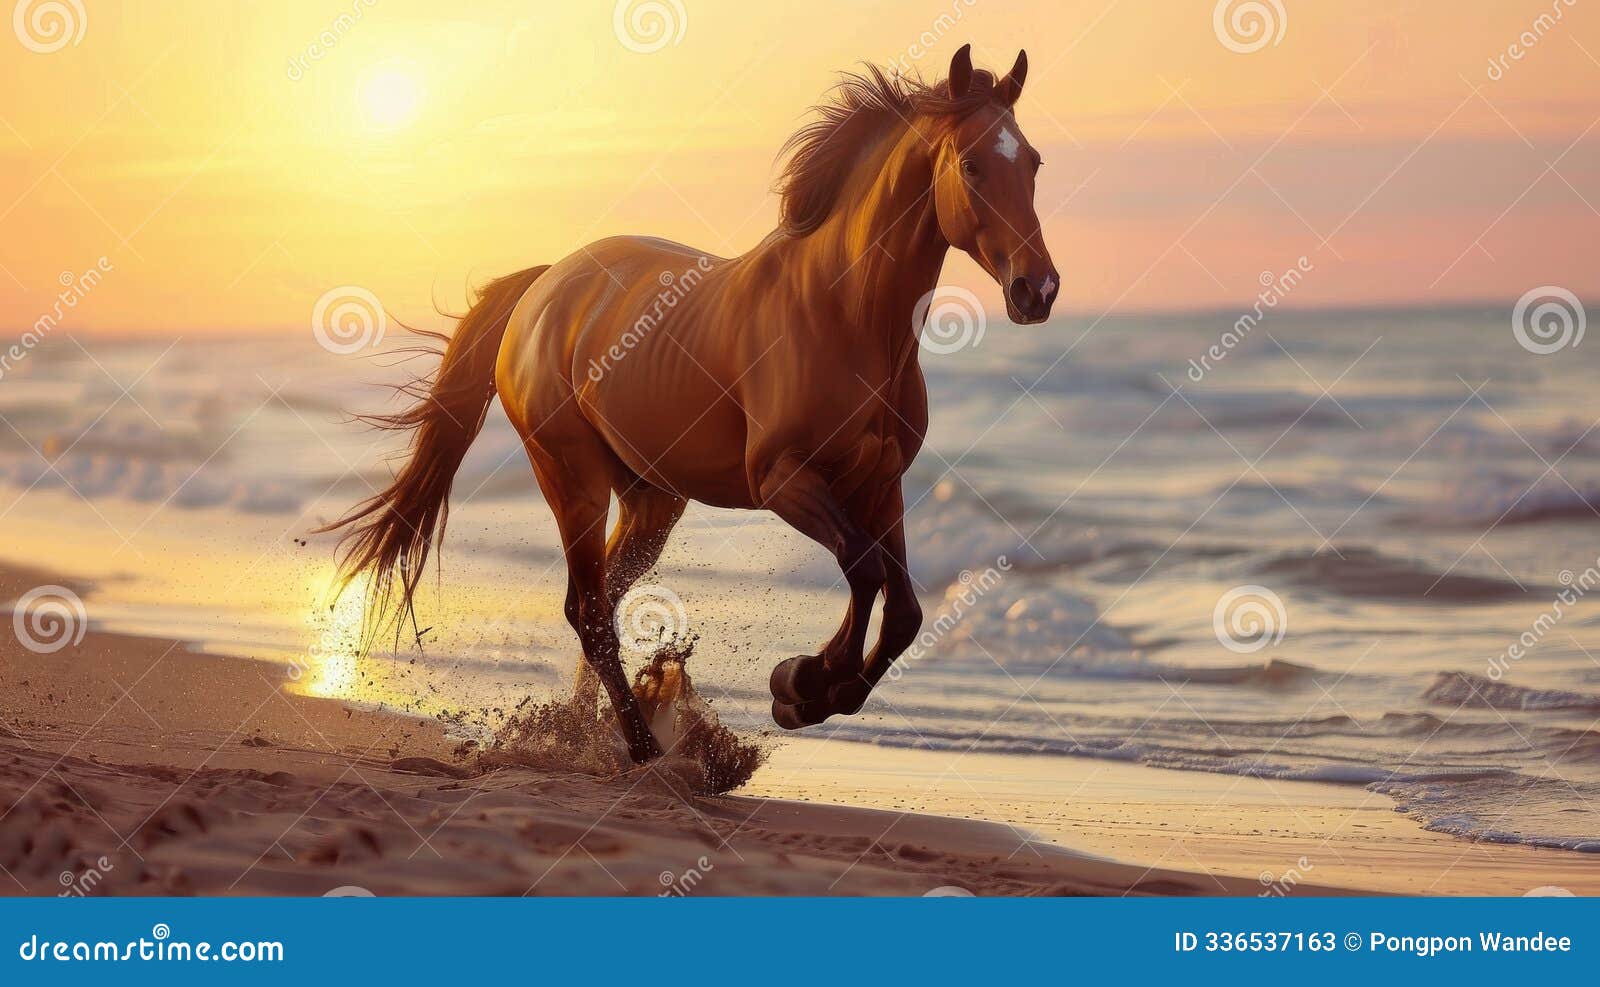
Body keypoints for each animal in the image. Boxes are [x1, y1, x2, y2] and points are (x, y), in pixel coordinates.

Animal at [322, 45, 1058, 763]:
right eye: (971, 164)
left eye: (1034, 163)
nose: (1039, 289)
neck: (841, 314)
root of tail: (544, 285)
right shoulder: (783, 479)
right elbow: (864, 568)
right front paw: (802, 684)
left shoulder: (879, 481)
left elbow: (900, 607)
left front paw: (808, 689)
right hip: (573, 479)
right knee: (589, 610)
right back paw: (643, 747)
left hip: (652, 498)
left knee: (606, 599)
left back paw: (590, 732)